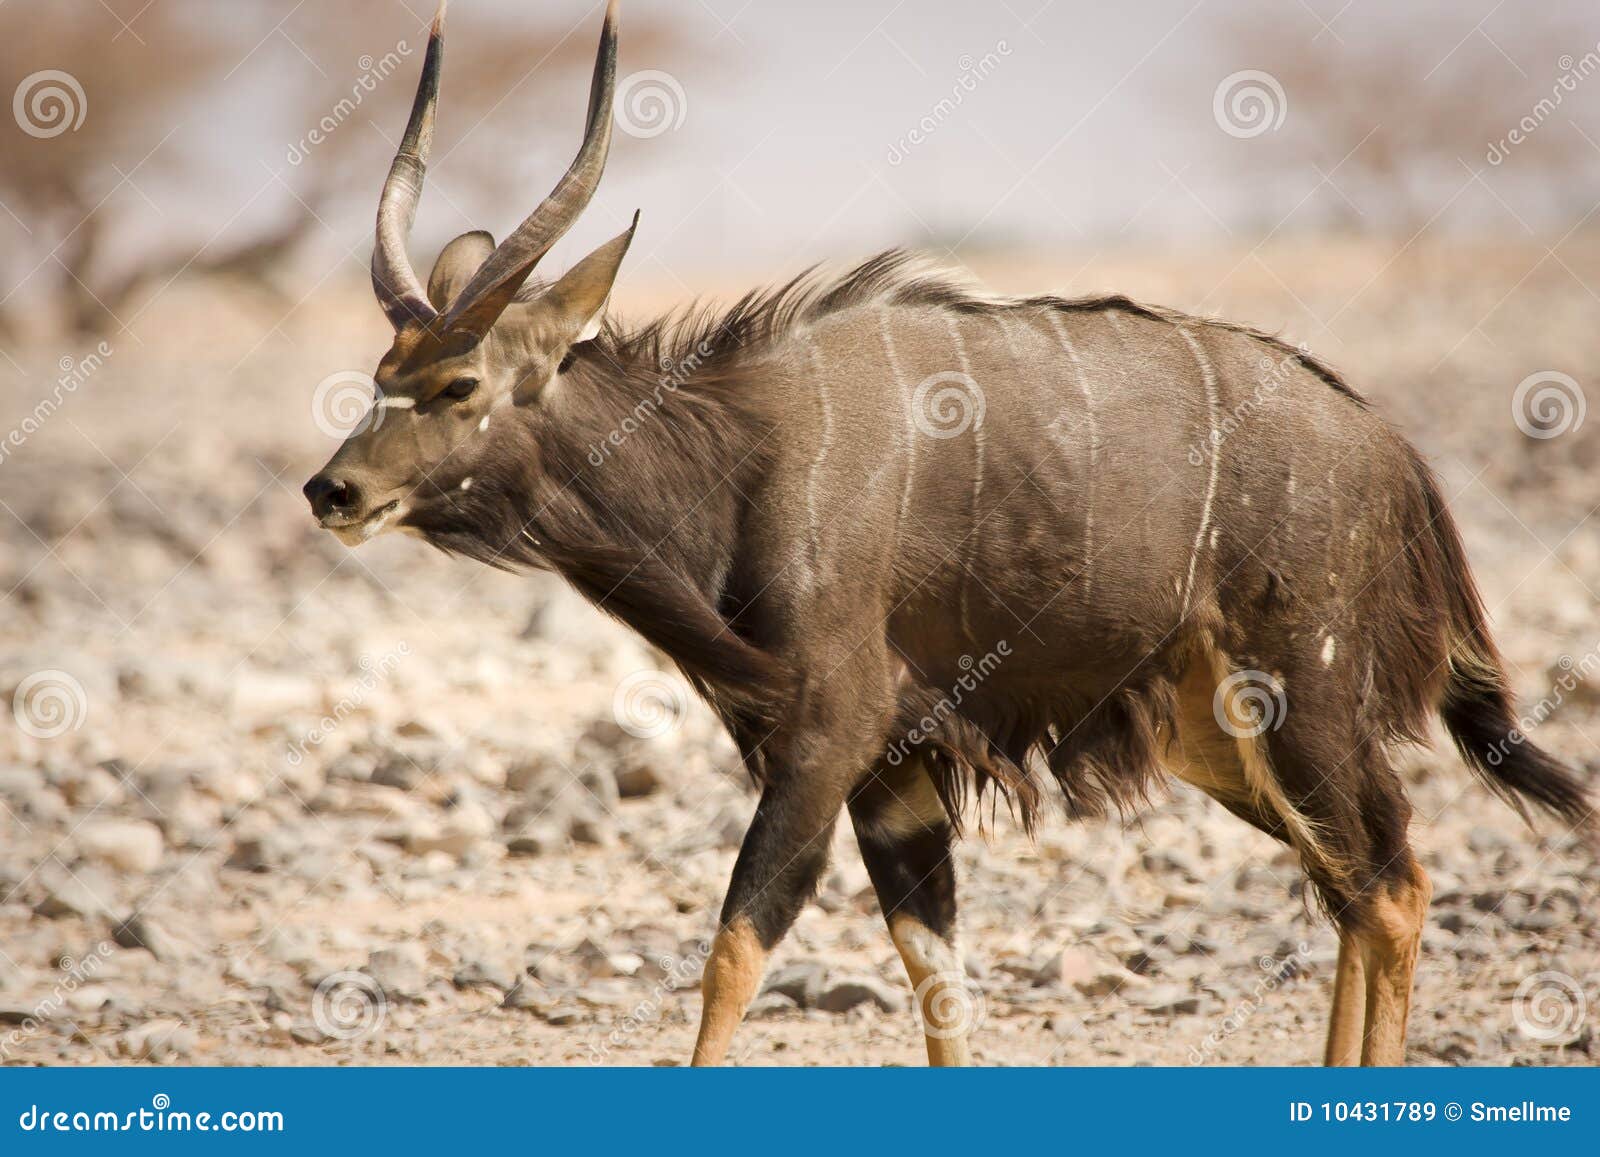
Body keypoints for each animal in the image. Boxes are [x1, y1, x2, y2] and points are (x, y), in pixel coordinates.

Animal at [304, 0, 1591, 1066]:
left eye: (460, 384)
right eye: (382, 372)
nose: (333, 491)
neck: (736, 457)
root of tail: (1389, 451)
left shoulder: (827, 742)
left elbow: (734, 950)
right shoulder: (896, 770)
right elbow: (935, 973)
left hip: (1302, 703)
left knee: (1391, 881)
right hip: (1217, 737)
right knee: (1354, 883)